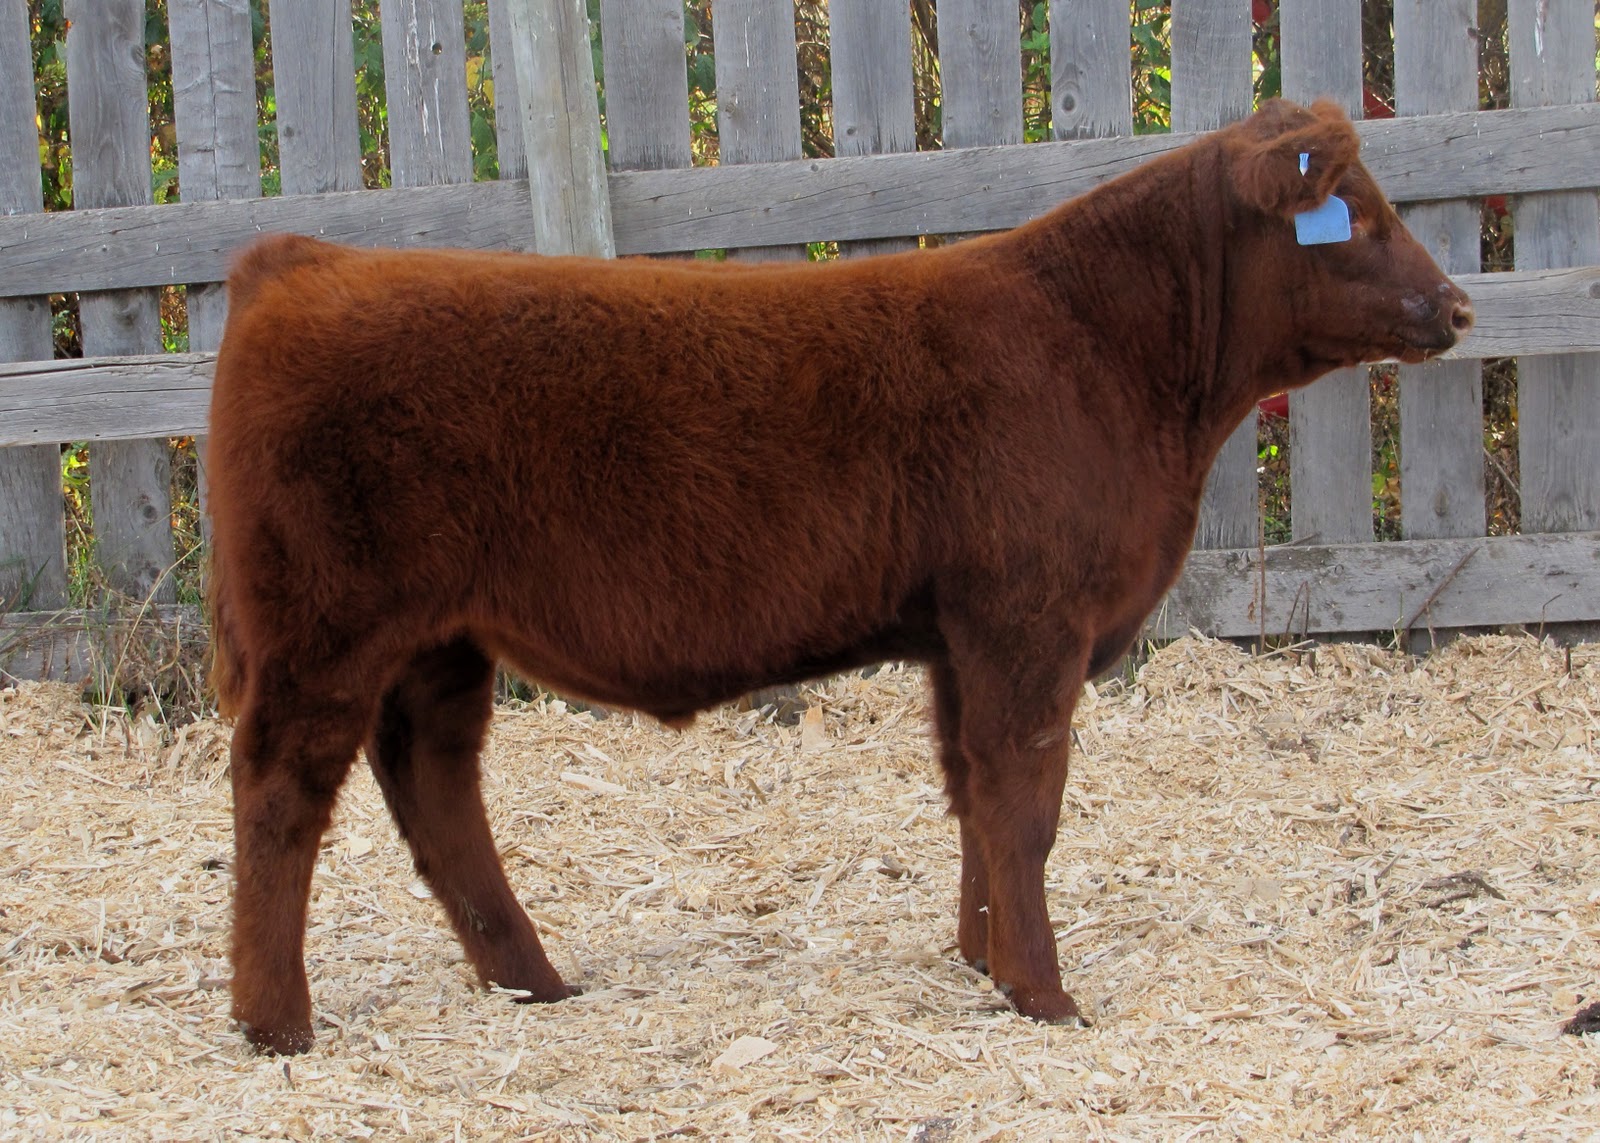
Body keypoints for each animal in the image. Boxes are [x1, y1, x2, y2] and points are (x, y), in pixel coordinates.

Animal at [205, 99, 1472, 1054]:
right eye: (1354, 217)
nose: (1456, 304)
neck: (1112, 359)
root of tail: (301, 260)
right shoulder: (1028, 618)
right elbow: (1024, 803)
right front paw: (1046, 994)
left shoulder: (963, 635)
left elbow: (971, 792)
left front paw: (981, 959)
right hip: (325, 623)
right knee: (280, 792)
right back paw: (276, 1025)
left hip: (439, 640)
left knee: (435, 790)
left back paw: (532, 980)